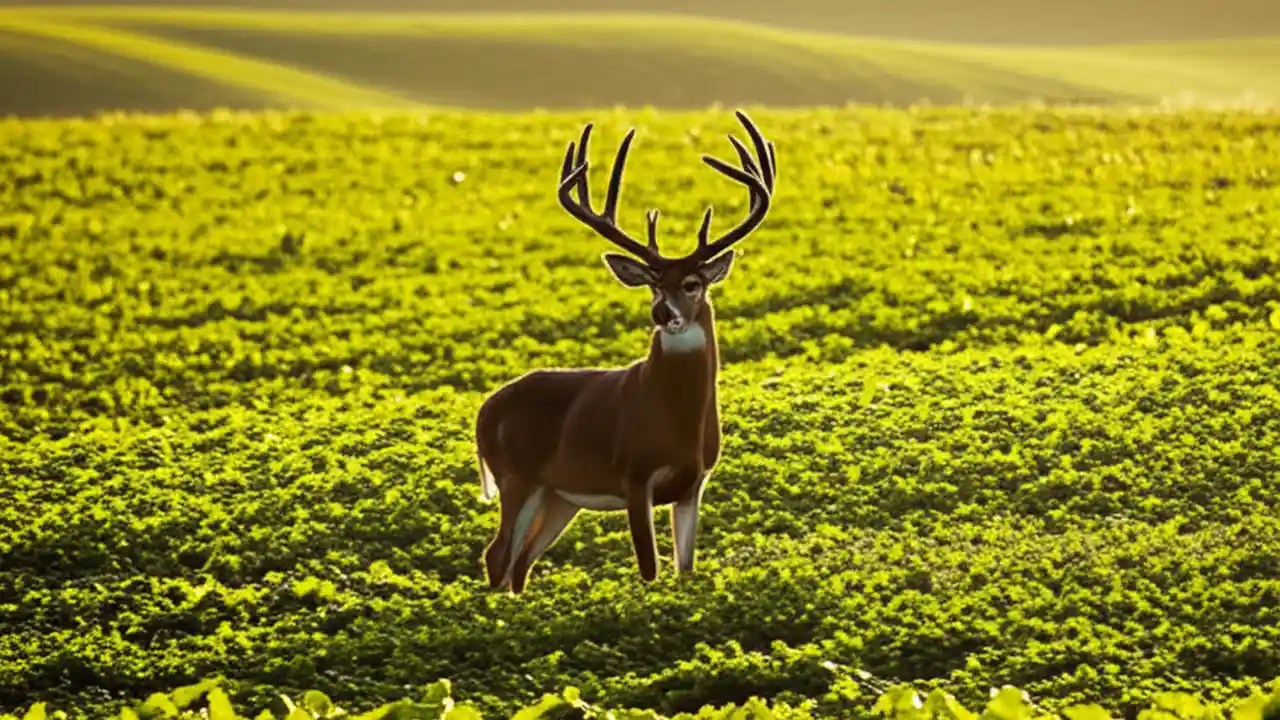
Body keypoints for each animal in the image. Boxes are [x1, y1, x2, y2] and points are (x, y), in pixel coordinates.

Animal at [474, 110, 777, 594]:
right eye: (653, 283)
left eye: (692, 282)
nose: (662, 312)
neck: (677, 421)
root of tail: (484, 410)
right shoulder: (634, 475)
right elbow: (650, 569)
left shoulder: (694, 483)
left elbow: (684, 567)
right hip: (516, 476)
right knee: (496, 555)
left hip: (558, 496)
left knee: (520, 563)